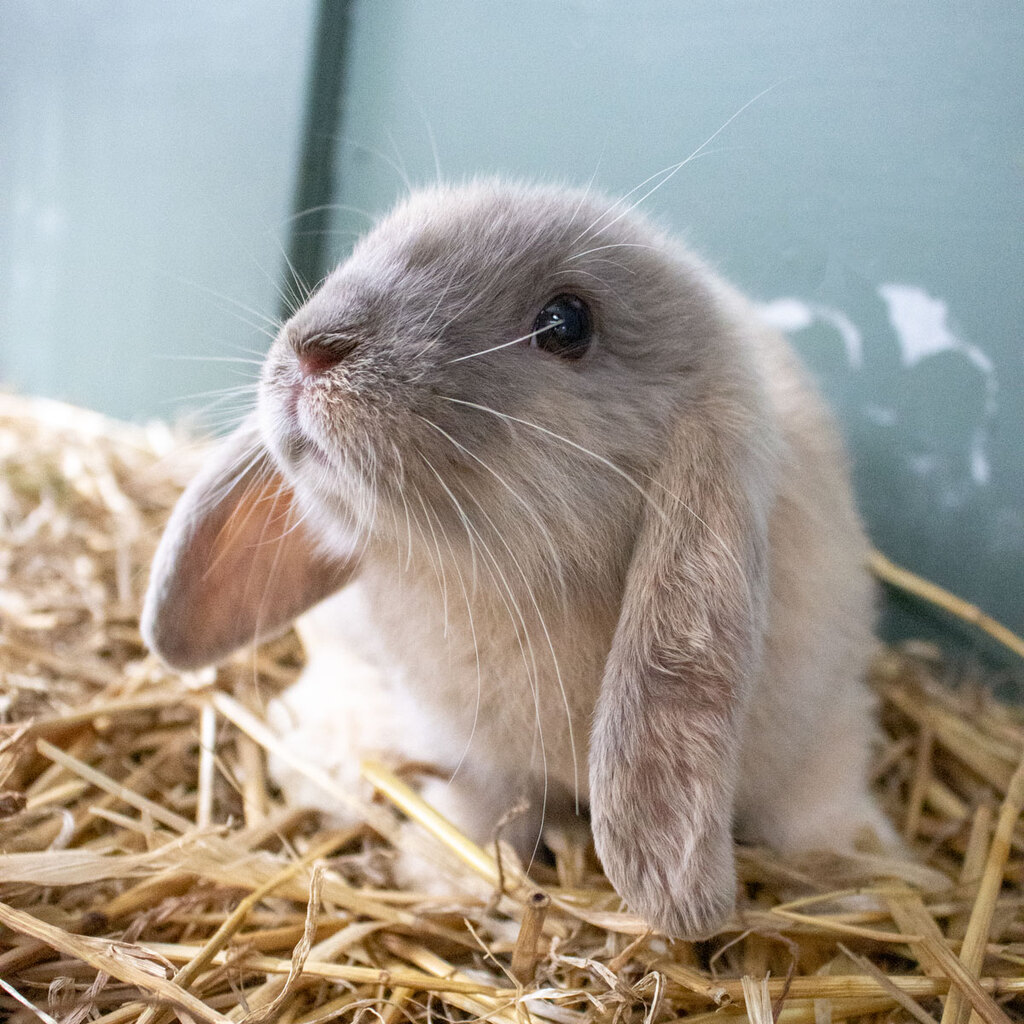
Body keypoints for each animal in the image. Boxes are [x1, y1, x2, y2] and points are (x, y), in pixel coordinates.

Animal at [141, 179, 895, 938]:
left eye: (566, 323)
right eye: (369, 244)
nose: (315, 348)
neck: (506, 591)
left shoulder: (825, 730)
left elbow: (820, 814)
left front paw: (862, 875)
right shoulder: (471, 754)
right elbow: (478, 816)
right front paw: (442, 875)